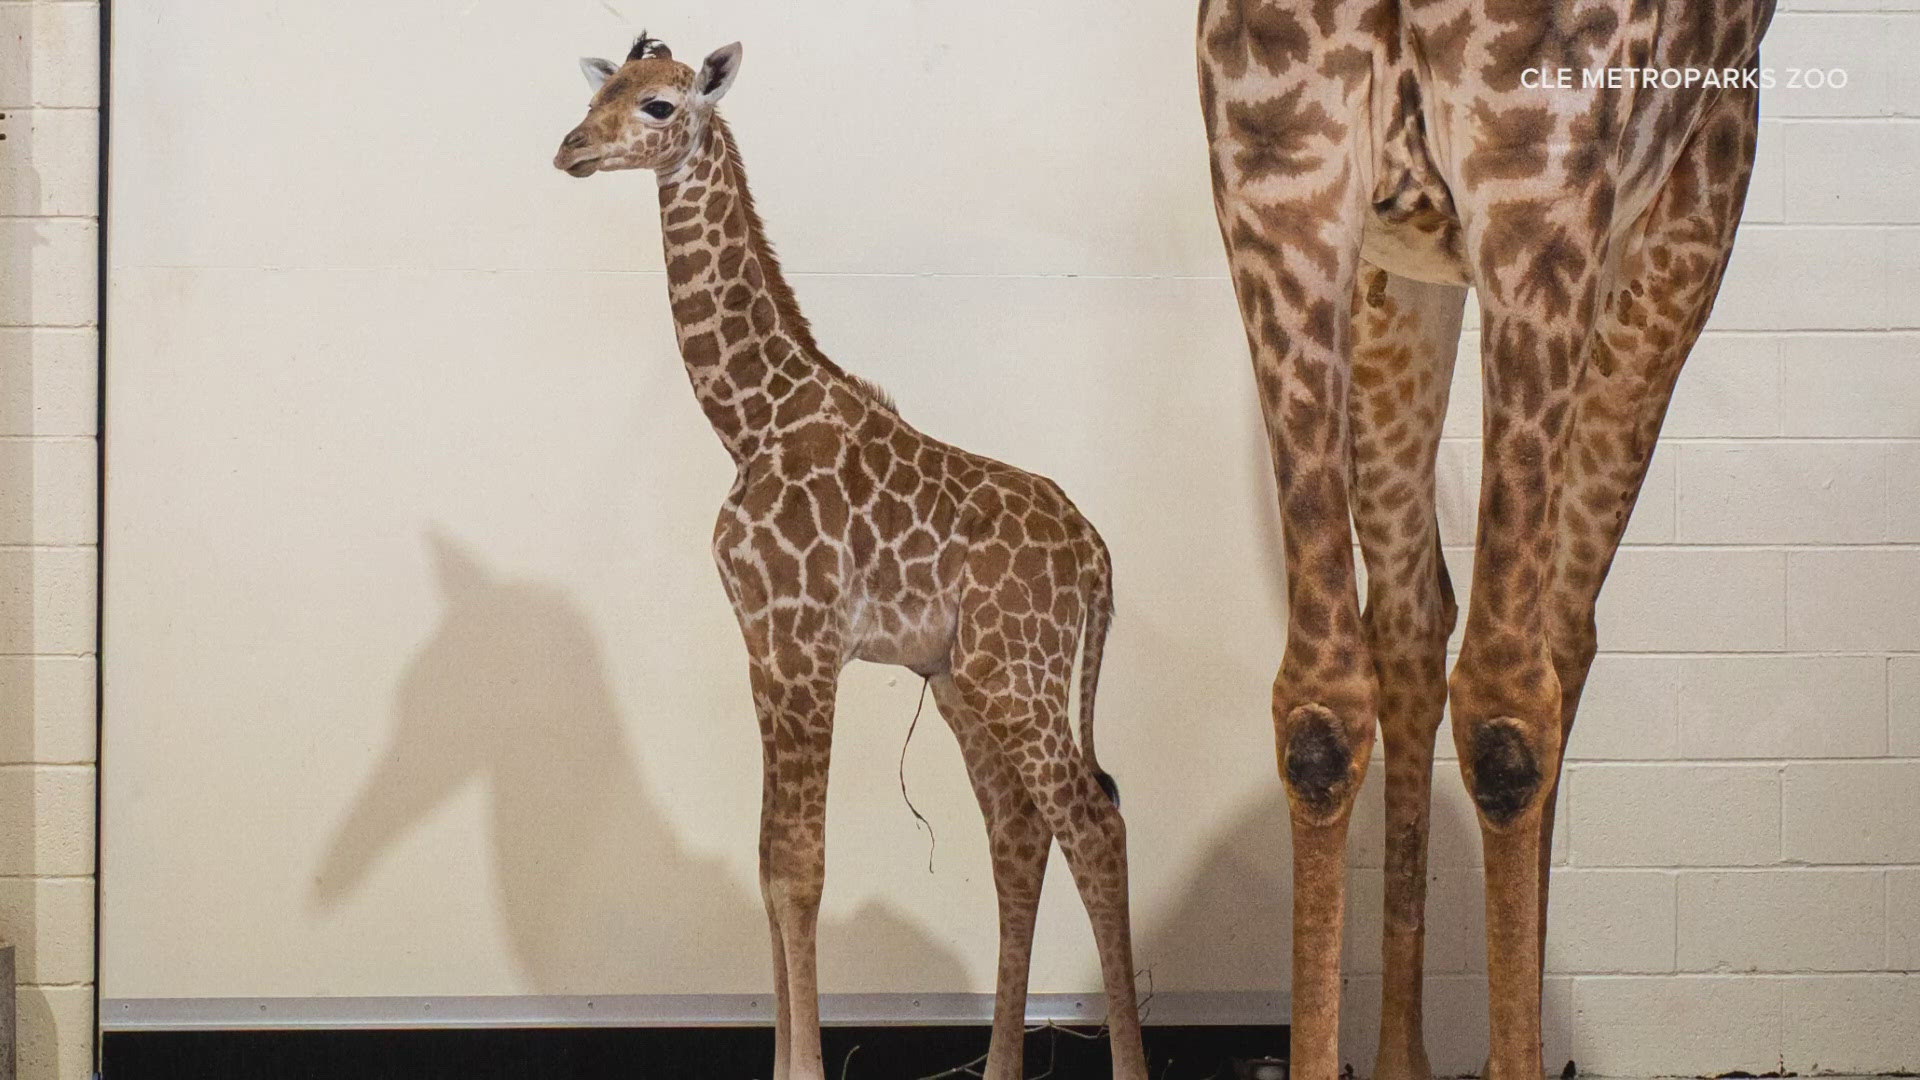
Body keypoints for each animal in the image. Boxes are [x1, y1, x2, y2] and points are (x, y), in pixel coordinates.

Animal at [553, 36, 1149, 1080]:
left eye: (661, 104)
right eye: (603, 90)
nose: (571, 149)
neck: (750, 424)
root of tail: (1096, 552)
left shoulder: (803, 646)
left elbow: (800, 867)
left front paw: (802, 1068)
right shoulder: (761, 647)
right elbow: (767, 862)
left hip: (1022, 674)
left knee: (1094, 821)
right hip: (964, 681)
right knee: (1018, 834)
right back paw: (999, 1067)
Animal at [1198, 1, 1771, 1078]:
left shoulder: (1467, 188)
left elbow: (1442, 703)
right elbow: (1428, 703)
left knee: (1465, 649)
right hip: (1467, 228)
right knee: (1472, 649)